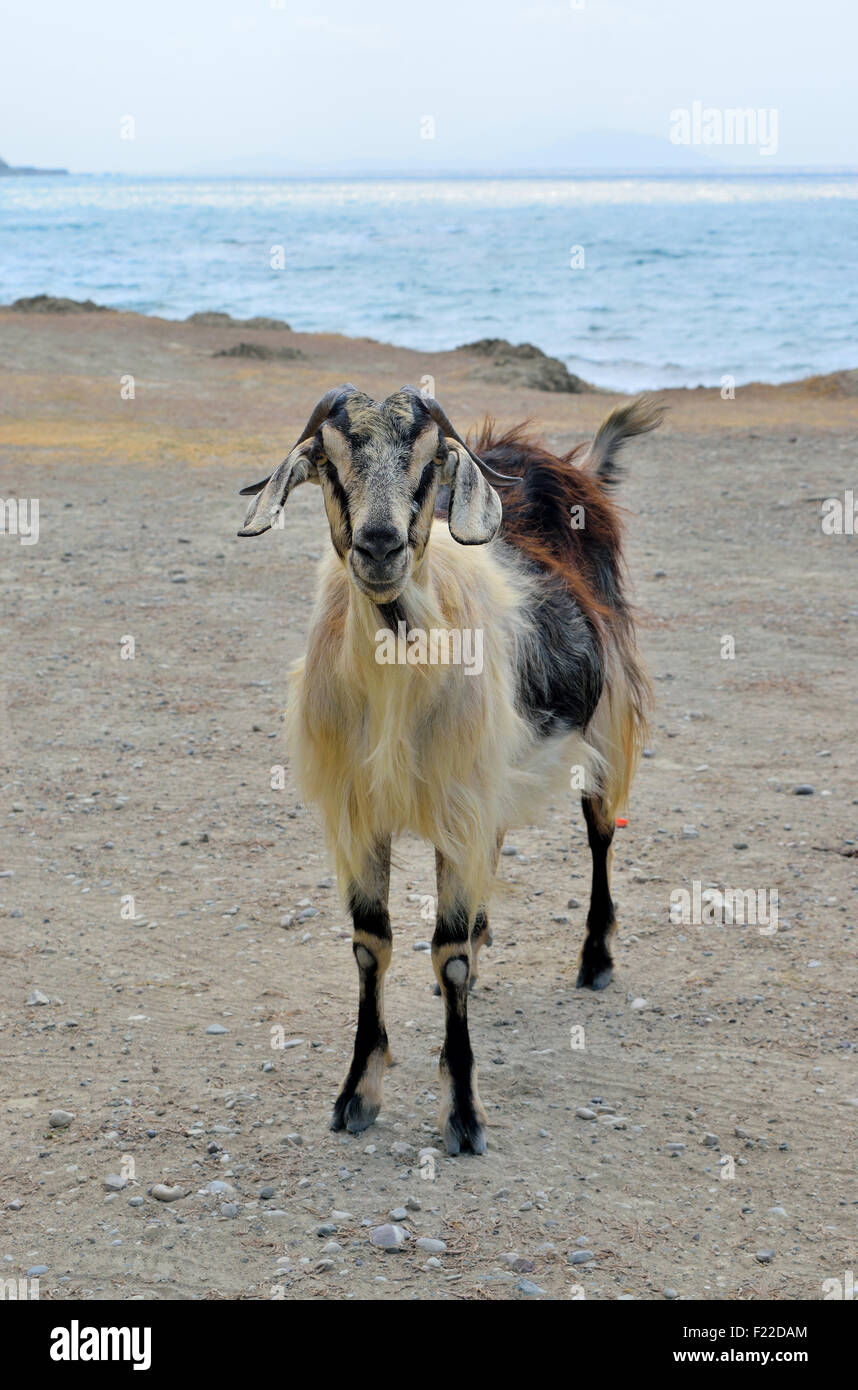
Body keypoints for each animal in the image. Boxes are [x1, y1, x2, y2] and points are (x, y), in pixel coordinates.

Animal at [238, 384, 662, 1155]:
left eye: (431, 462)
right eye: (329, 462)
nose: (380, 546)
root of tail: (564, 462)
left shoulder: (460, 802)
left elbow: (449, 951)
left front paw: (463, 1114)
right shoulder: (362, 816)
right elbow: (371, 946)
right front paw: (356, 1095)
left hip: (607, 717)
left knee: (600, 831)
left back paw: (596, 960)